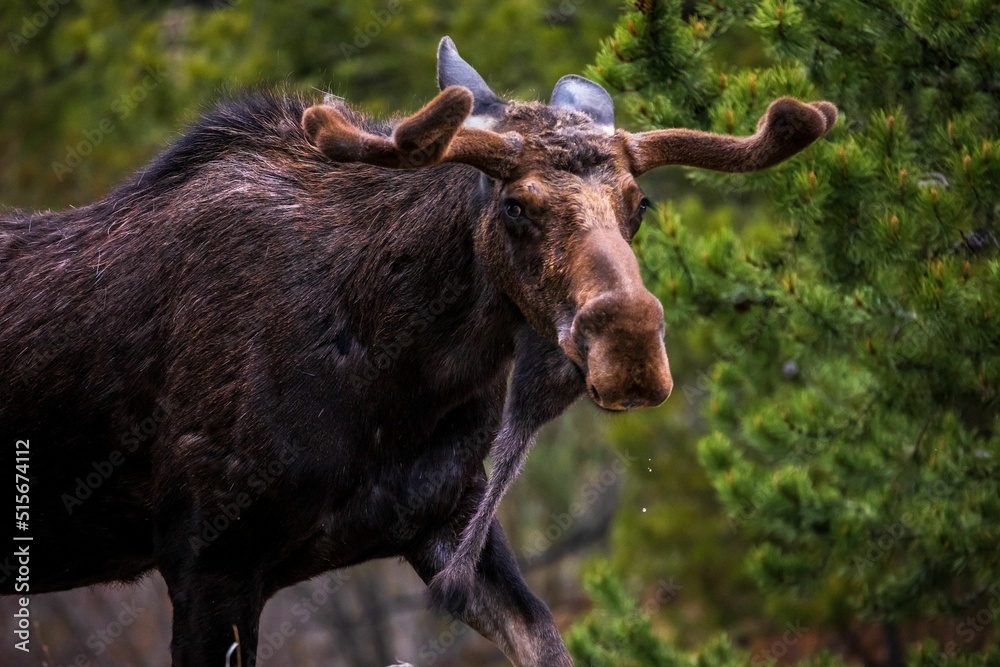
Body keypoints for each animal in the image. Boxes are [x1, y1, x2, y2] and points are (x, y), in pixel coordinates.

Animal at [0, 36, 836, 666]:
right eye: (517, 204)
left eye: (640, 203)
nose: (629, 344)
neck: (405, 379)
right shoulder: (207, 559)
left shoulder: (448, 521)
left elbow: (546, 639)